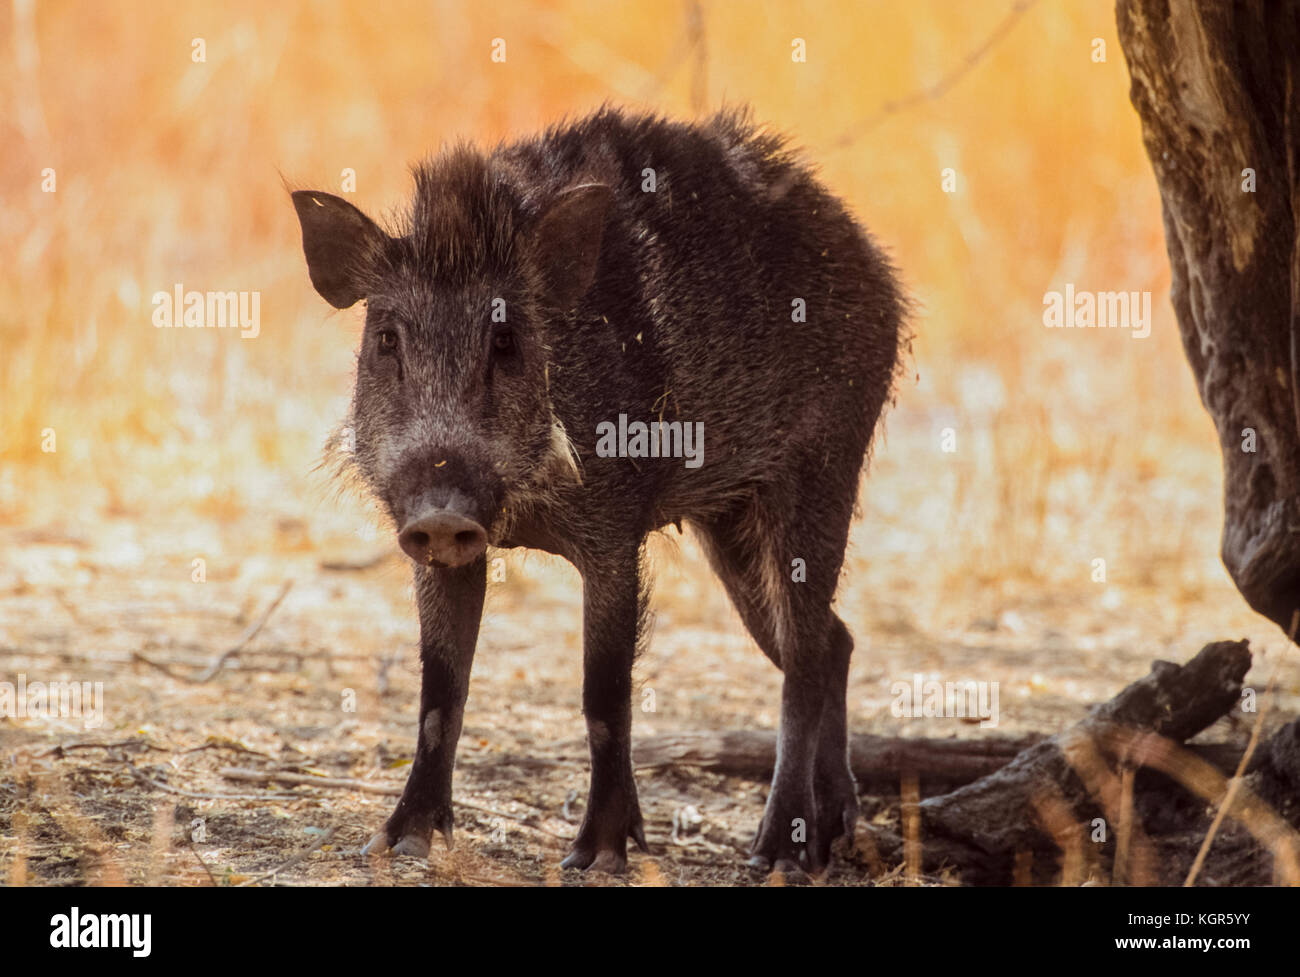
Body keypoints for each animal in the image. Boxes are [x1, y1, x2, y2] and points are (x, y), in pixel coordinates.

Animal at [291, 107, 907, 875]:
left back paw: (779, 855)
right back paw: (838, 834)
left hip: (825, 469)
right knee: (835, 642)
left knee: (804, 656)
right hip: (730, 523)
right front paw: (397, 840)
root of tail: (879, 269)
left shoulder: (615, 536)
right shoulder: (447, 554)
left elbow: (604, 692)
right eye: (385, 338)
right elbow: (441, 689)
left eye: (506, 340)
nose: (441, 512)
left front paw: (600, 856)